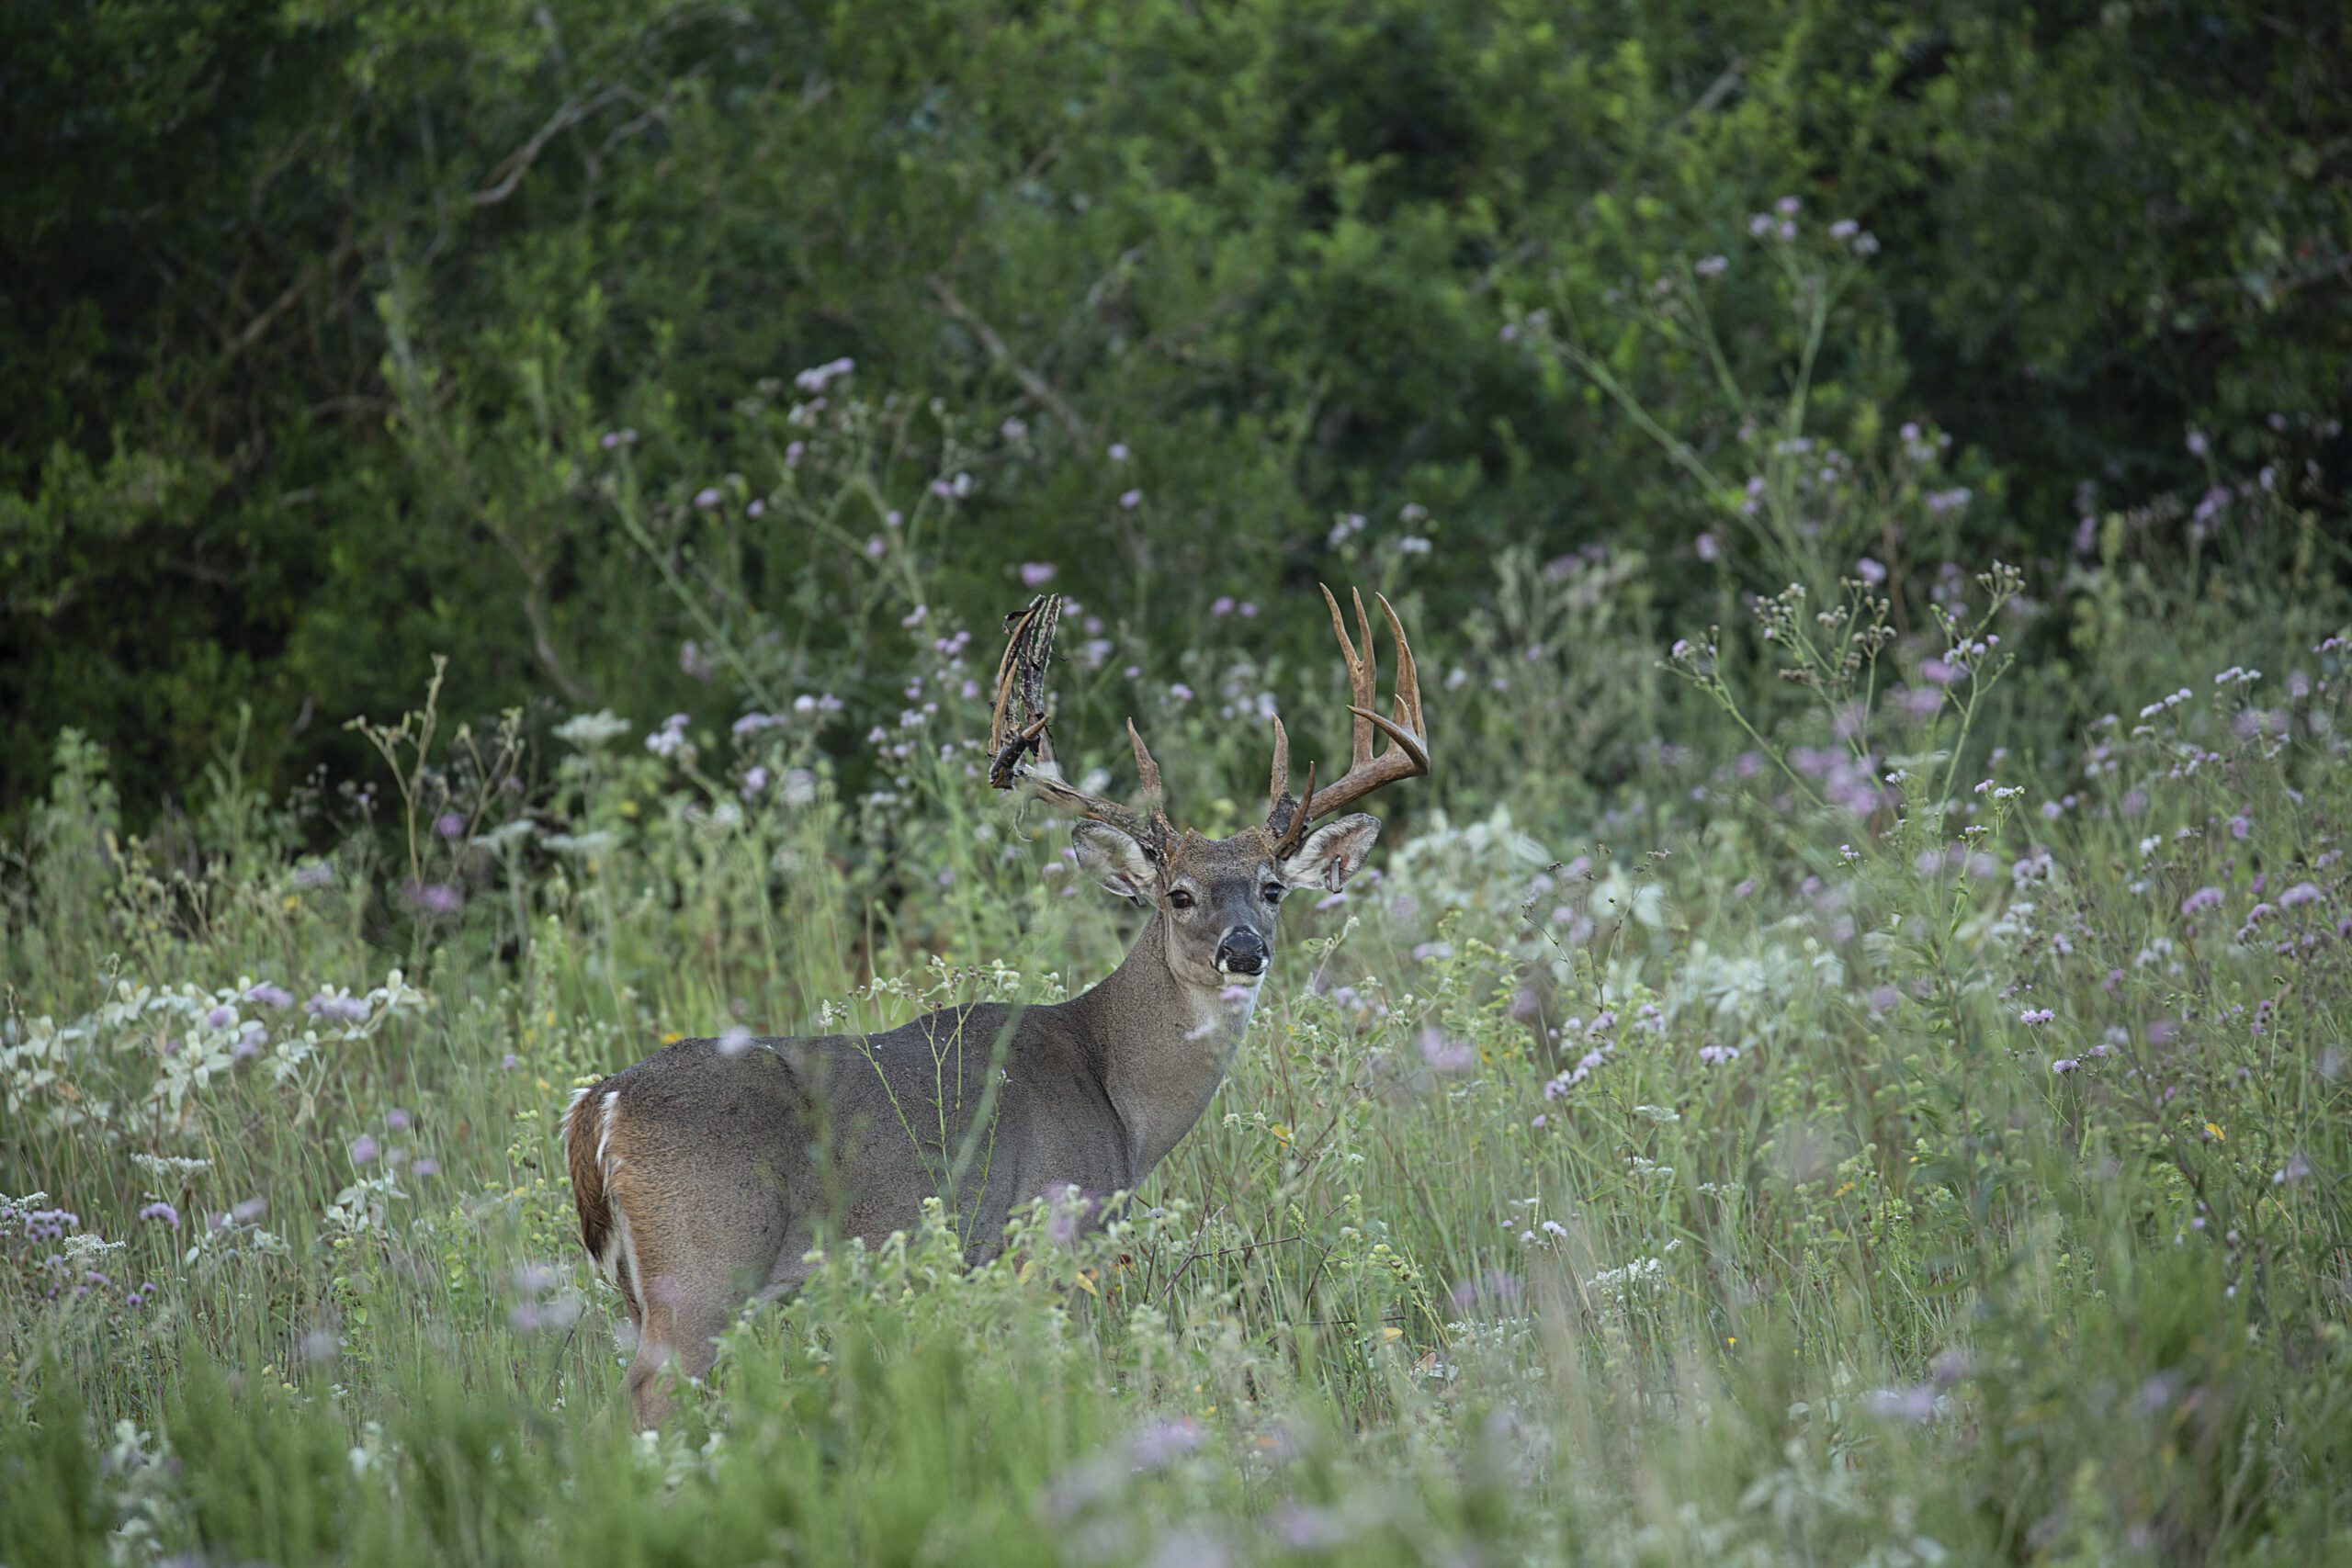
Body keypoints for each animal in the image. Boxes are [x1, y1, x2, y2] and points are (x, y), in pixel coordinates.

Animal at [563, 585, 1429, 1427]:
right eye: (1178, 894)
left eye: (1272, 888)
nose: (1243, 950)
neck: (1117, 1092)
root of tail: (598, 1106)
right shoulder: (1051, 1233)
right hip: (705, 1265)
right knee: (645, 1397)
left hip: (638, 1292)